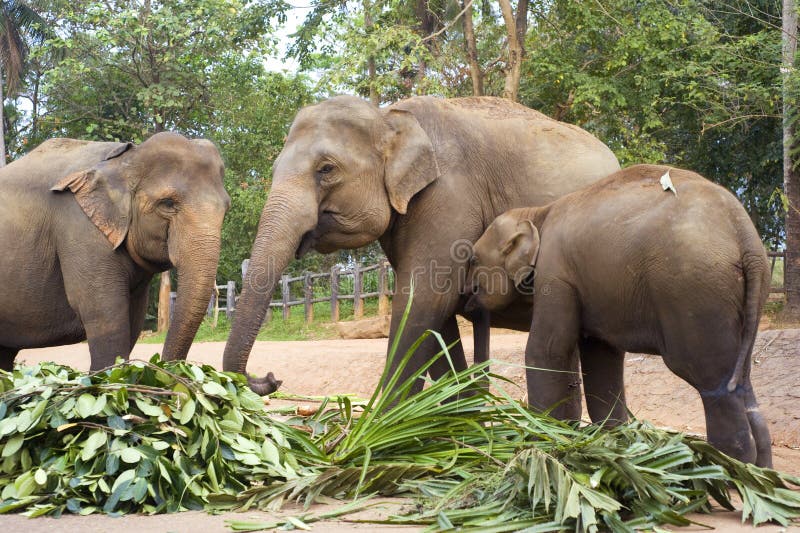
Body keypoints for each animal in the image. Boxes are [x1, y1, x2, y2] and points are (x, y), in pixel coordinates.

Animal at [0, 132, 230, 371]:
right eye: (167, 204)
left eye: (226, 209)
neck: (123, 159)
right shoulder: (81, 229)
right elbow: (105, 317)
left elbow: (133, 320)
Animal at [221, 95, 620, 396]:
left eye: (326, 169)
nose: (272, 377)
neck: (388, 117)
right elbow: (437, 314)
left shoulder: (450, 195)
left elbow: (424, 299)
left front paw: (376, 435)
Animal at [465, 164, 772, 466]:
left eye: (474, 260)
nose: (469, 296)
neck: (536, 214)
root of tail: (744, 235)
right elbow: (601, 357)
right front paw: (611, 442)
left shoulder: (555, 274)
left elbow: (547, 351)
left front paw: (540, 441)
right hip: (744, 299)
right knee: (743, 384)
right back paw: (760, 472)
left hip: (695, 293)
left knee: (710, 380)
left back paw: (729, 467)